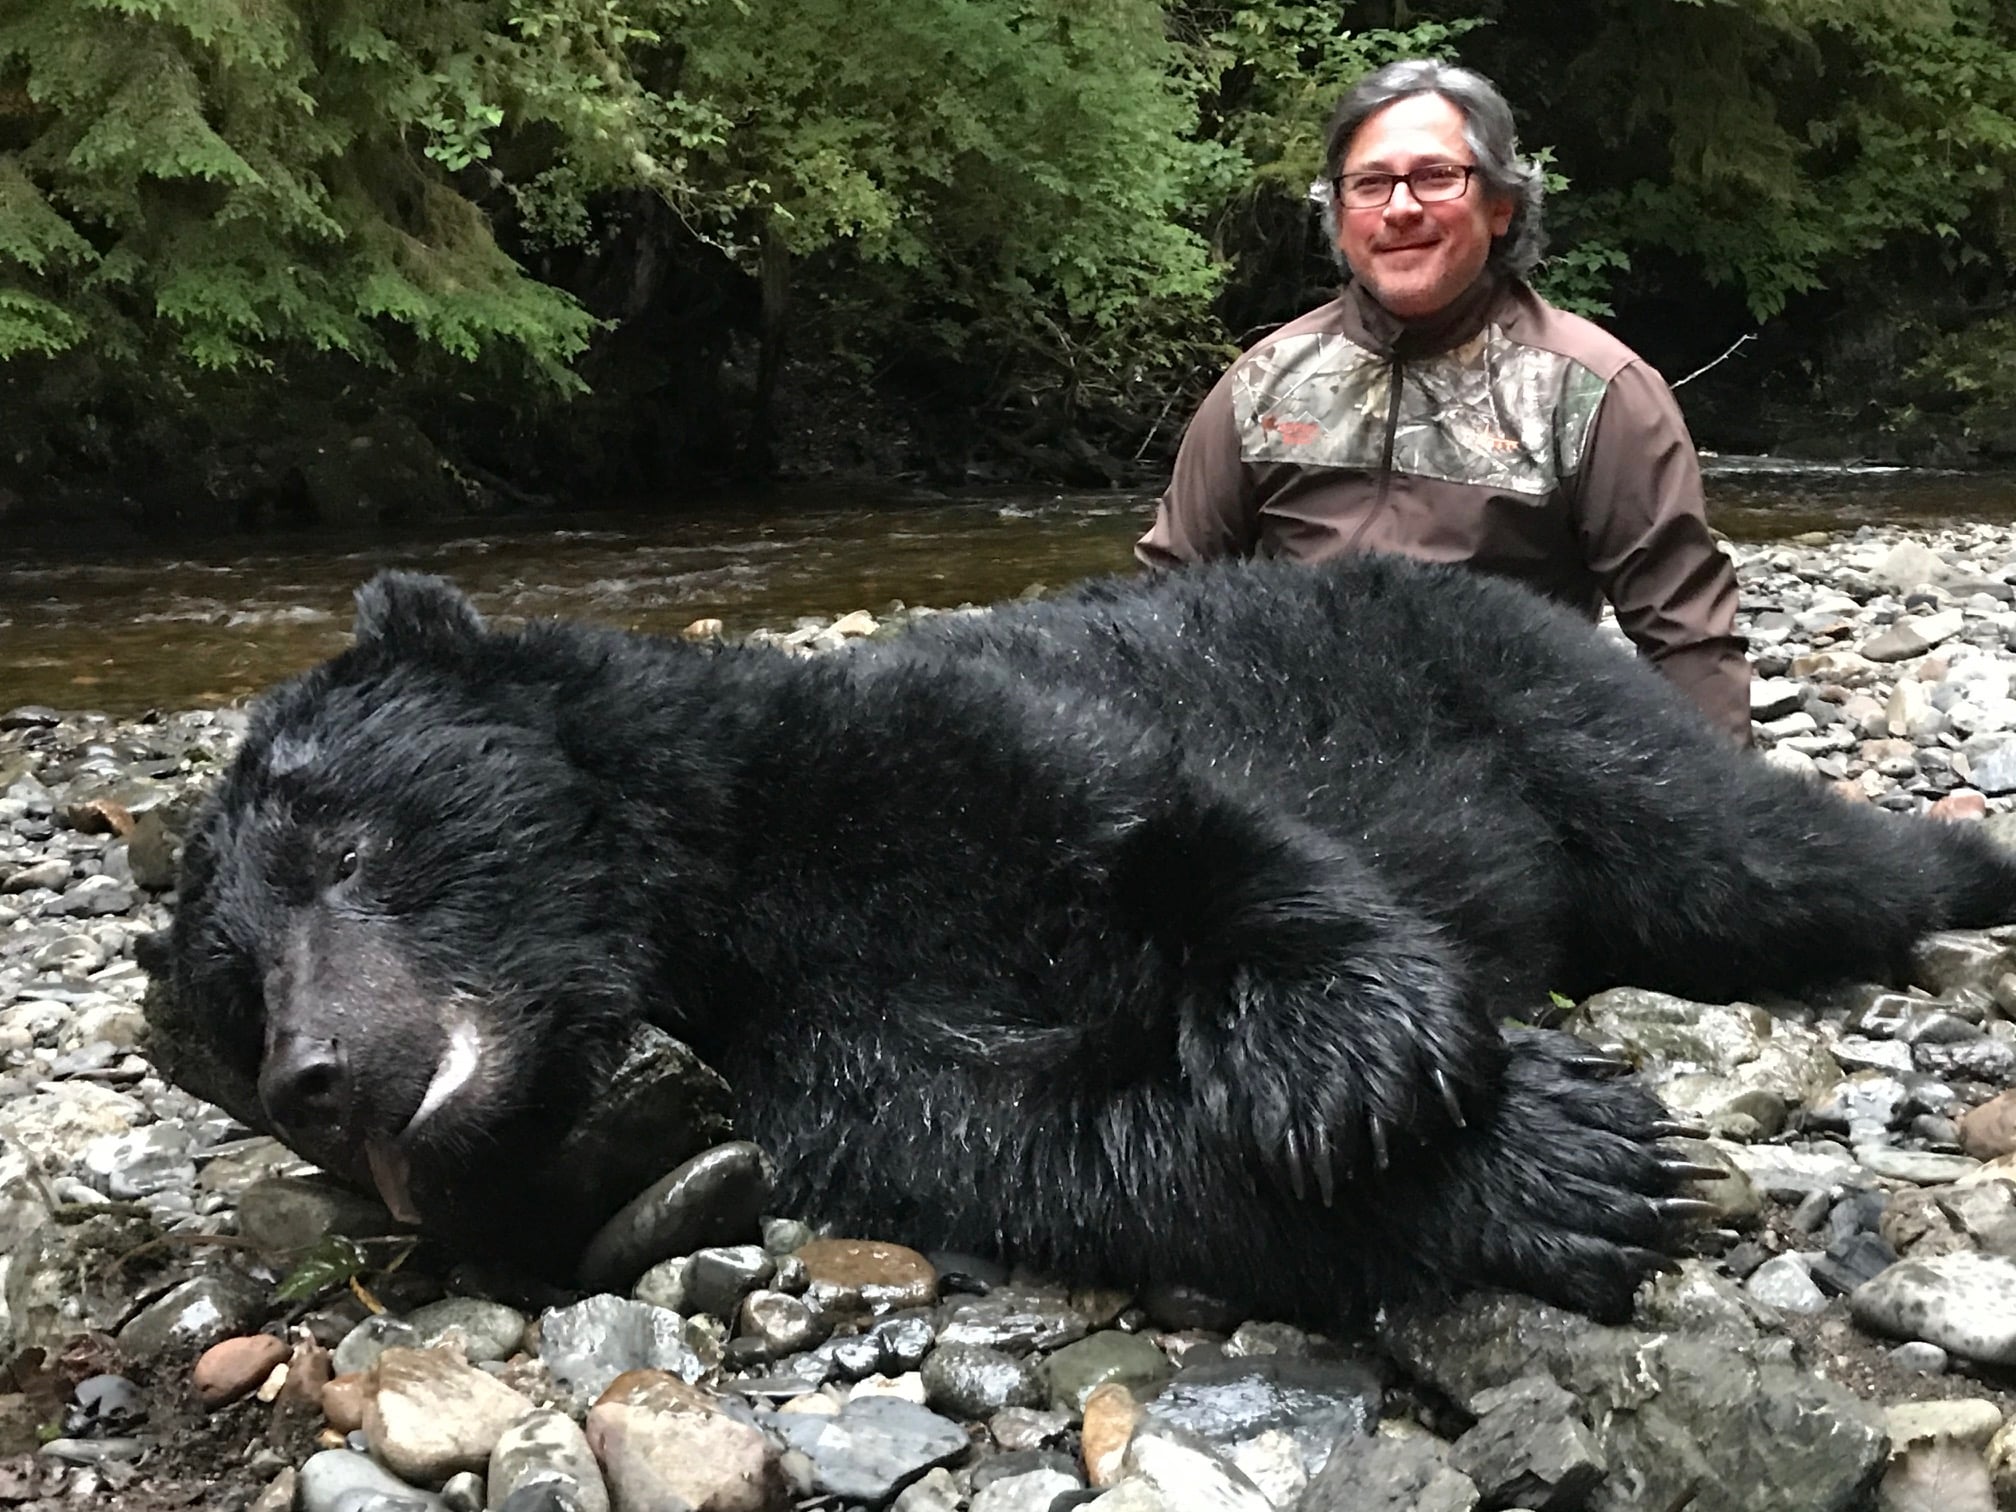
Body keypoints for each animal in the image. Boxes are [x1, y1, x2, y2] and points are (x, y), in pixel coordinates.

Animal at [144, 557, 2016, 1328]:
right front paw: (1548, 1162)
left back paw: (1966, 862)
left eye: (336, 843)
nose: (318, 1074)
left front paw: (1356, 1056)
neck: (721, 879)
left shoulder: (941, 738)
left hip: (1524, 692)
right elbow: (1035, 1138)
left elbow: (1189, 834)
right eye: (232, 1002)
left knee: (1763, 859)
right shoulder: (796, 1050)